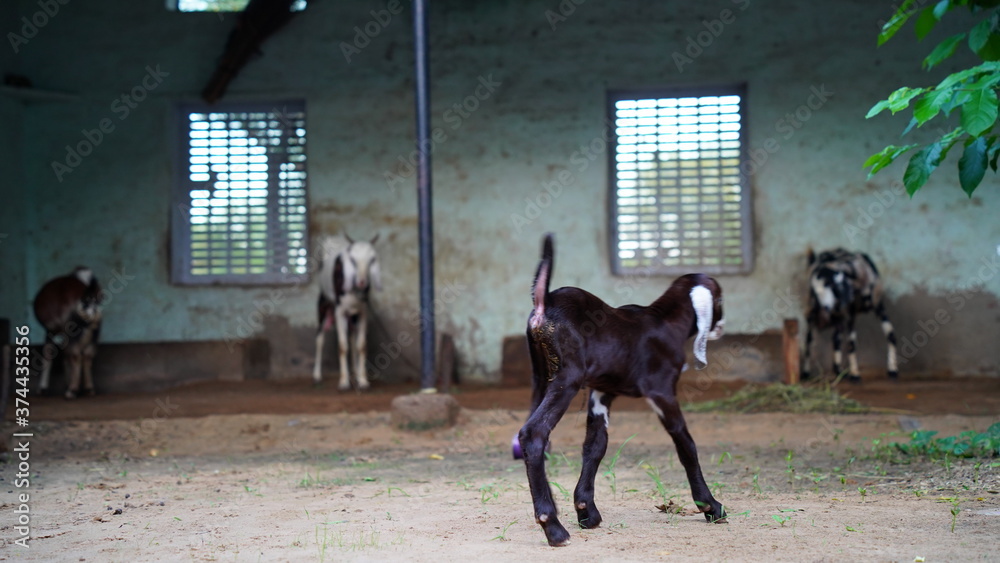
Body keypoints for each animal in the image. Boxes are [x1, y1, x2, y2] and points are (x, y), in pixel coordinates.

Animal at [33, 266, 103, 399]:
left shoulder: (51, 330)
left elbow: (49, 353)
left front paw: (43, 388)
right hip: (93, 332)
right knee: (87, 355)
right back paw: (88, 388)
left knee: (75, 355)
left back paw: (72, 390)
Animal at [313, 234, 381, 391]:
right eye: (353, 260)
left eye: (372, 259)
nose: (362, 282)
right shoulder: (339, 311)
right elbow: (343, 346)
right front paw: (343, 382)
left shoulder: (362, 311)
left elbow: (360, 346)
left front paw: (363, 381)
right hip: (323, 302)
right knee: (320, 337)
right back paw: (317, 376)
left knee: (351, 336)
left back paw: (355, 374)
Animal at [518, 233, 727, 547]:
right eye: (720, 298)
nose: (721, 325)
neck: (664, 319)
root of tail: (545, 302)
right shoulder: (661, 391)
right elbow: (685, 443)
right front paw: (710, 506)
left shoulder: (601, 392)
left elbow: (595, 445)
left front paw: (586, 511)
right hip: (568, 378)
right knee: (534, 434)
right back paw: (552, 526)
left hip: (540, 378)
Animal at [802, 248, 898, 383]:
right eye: (814, 291)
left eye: (830, 284)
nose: (820, 312)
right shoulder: (850, 314)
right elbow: (851, 344)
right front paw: (855, 374)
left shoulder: (878, 307)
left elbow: (891, 335)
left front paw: (893, 369)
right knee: (810, 340)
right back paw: (806, 373)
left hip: (838, 316)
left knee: (835, 339)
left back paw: (838, 371)